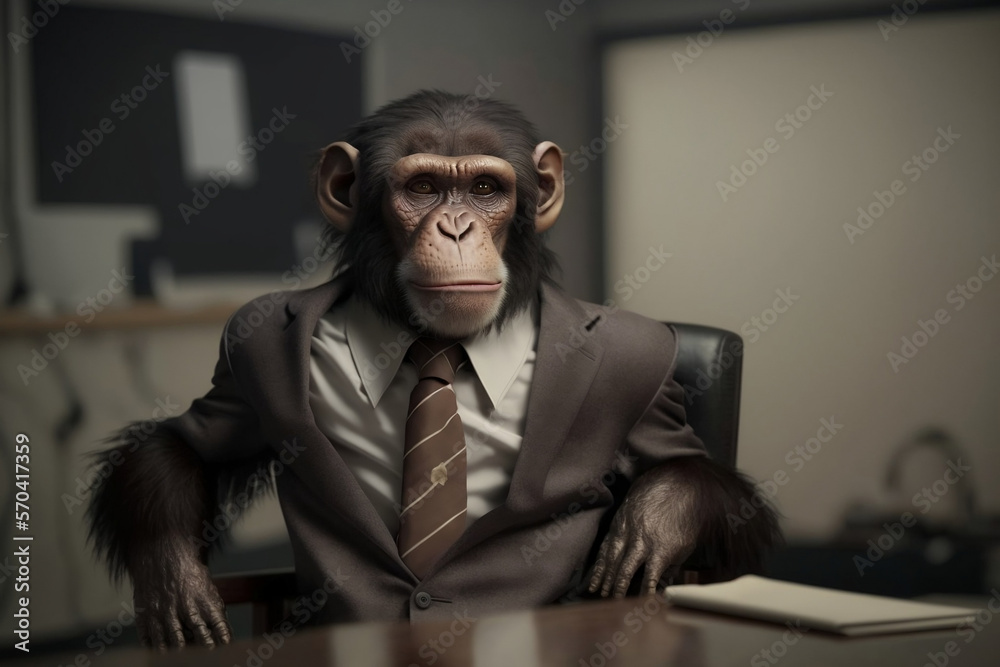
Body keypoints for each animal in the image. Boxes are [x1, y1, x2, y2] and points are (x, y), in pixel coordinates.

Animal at [86, 90, 780, 649]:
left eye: (484, 190)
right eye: (421, 188)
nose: (455, 228)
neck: (442, 344)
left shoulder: (649, 373)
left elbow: (699, 475)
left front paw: (659, 515)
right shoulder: (246, 354)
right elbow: (182, 442)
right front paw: (172, 576)